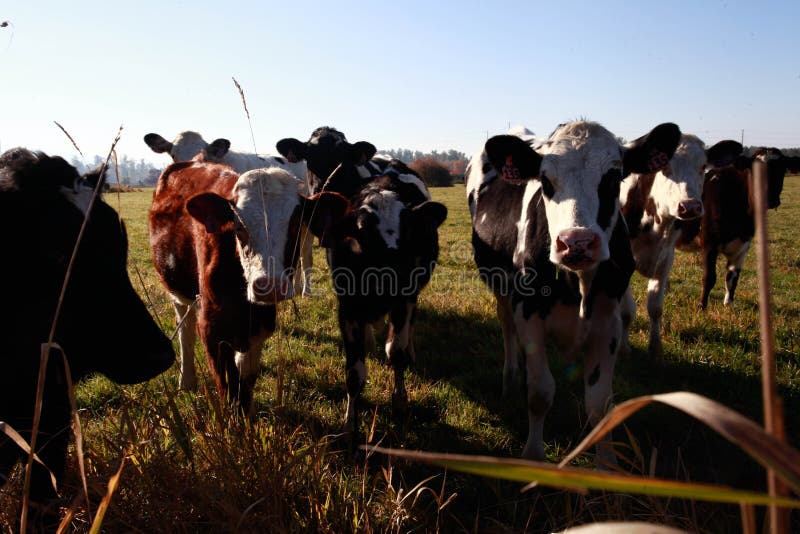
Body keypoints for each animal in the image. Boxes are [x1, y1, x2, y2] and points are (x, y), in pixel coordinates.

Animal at [148, 157, 349, 414]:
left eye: (296, 226)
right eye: (239, 228)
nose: (270, 285)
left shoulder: (260, 325)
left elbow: (245, 378)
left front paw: (247, 414)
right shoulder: (212, 329)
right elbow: (227, 385)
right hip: (177, 292)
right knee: (185, 331)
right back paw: (187, 381)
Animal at [324, 164, 446, 446]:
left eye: (409, 228)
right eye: (363, 230)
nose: (398, 271)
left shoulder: (405, 299)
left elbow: (396, 352)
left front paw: (400, 401)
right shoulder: (348, 308)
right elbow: (354, 372)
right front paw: (349, 427)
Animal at [467, 121, 681, 462]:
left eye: (613, 178)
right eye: (545, 181)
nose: (576, 242)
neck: (577, 284)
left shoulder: (608, 324)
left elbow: (600, 404)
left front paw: (606, 466)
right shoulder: (528, 313)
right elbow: (540, 393)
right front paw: (533, 455)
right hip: (500, 287)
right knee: (507, 327)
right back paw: (511, 376)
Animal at [619, 136, 743, 357]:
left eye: (703, 167)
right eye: (664, 166)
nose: (690, 206)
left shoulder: (666, 257)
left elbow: (655, 307)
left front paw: (655, 348)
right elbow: (626, 310)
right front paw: (624, 349)